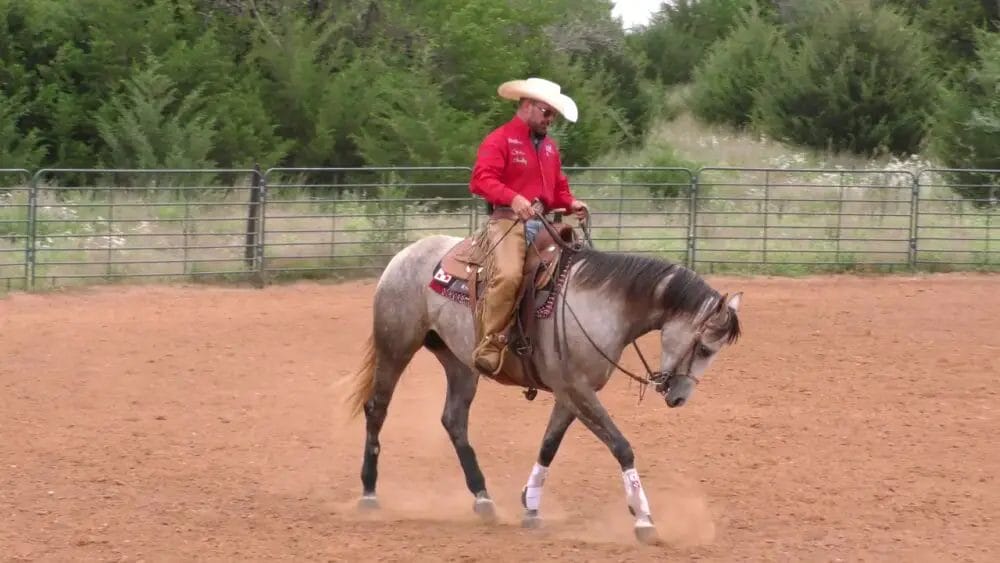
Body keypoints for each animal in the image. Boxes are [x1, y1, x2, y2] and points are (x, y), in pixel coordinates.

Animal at [344, 216, 742, 544]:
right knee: (377, 408)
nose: (678, 397)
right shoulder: (578, 390)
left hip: (459, 362)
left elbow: (549, 445)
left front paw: (531, 506)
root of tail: (406, 254)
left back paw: (483, 498)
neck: (600, 303)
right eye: (704, 347)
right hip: (396, 345)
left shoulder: (570, 394)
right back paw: (369, 493)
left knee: (453, 419)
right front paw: (643, 518)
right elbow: (621, 446)